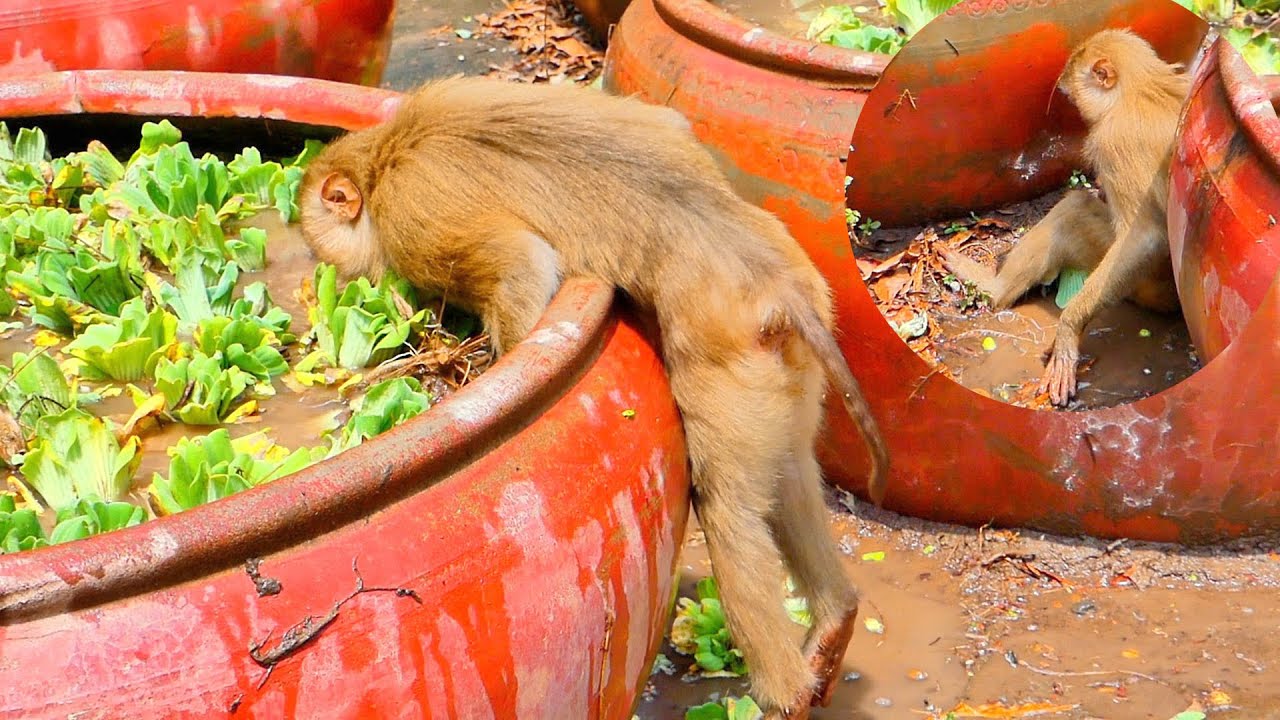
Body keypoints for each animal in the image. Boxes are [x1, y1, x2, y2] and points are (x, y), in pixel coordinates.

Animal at [297, 76, 890, 719]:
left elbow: (524, 264)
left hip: (728, 367)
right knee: (788, 471)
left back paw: (785, 693)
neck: (386, 154)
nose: (344, 281)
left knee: (730, 510)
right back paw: (835, 617)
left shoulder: (409, 215)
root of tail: (777, 287)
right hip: (785, 364)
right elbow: (669, 125)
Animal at [939, 28, 1186, 407]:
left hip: (1149, 285)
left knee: (1073, 211)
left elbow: (1145, 237)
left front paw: (1068, 329)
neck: (1144, 89)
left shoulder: (1113, 142)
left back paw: (993, 290)